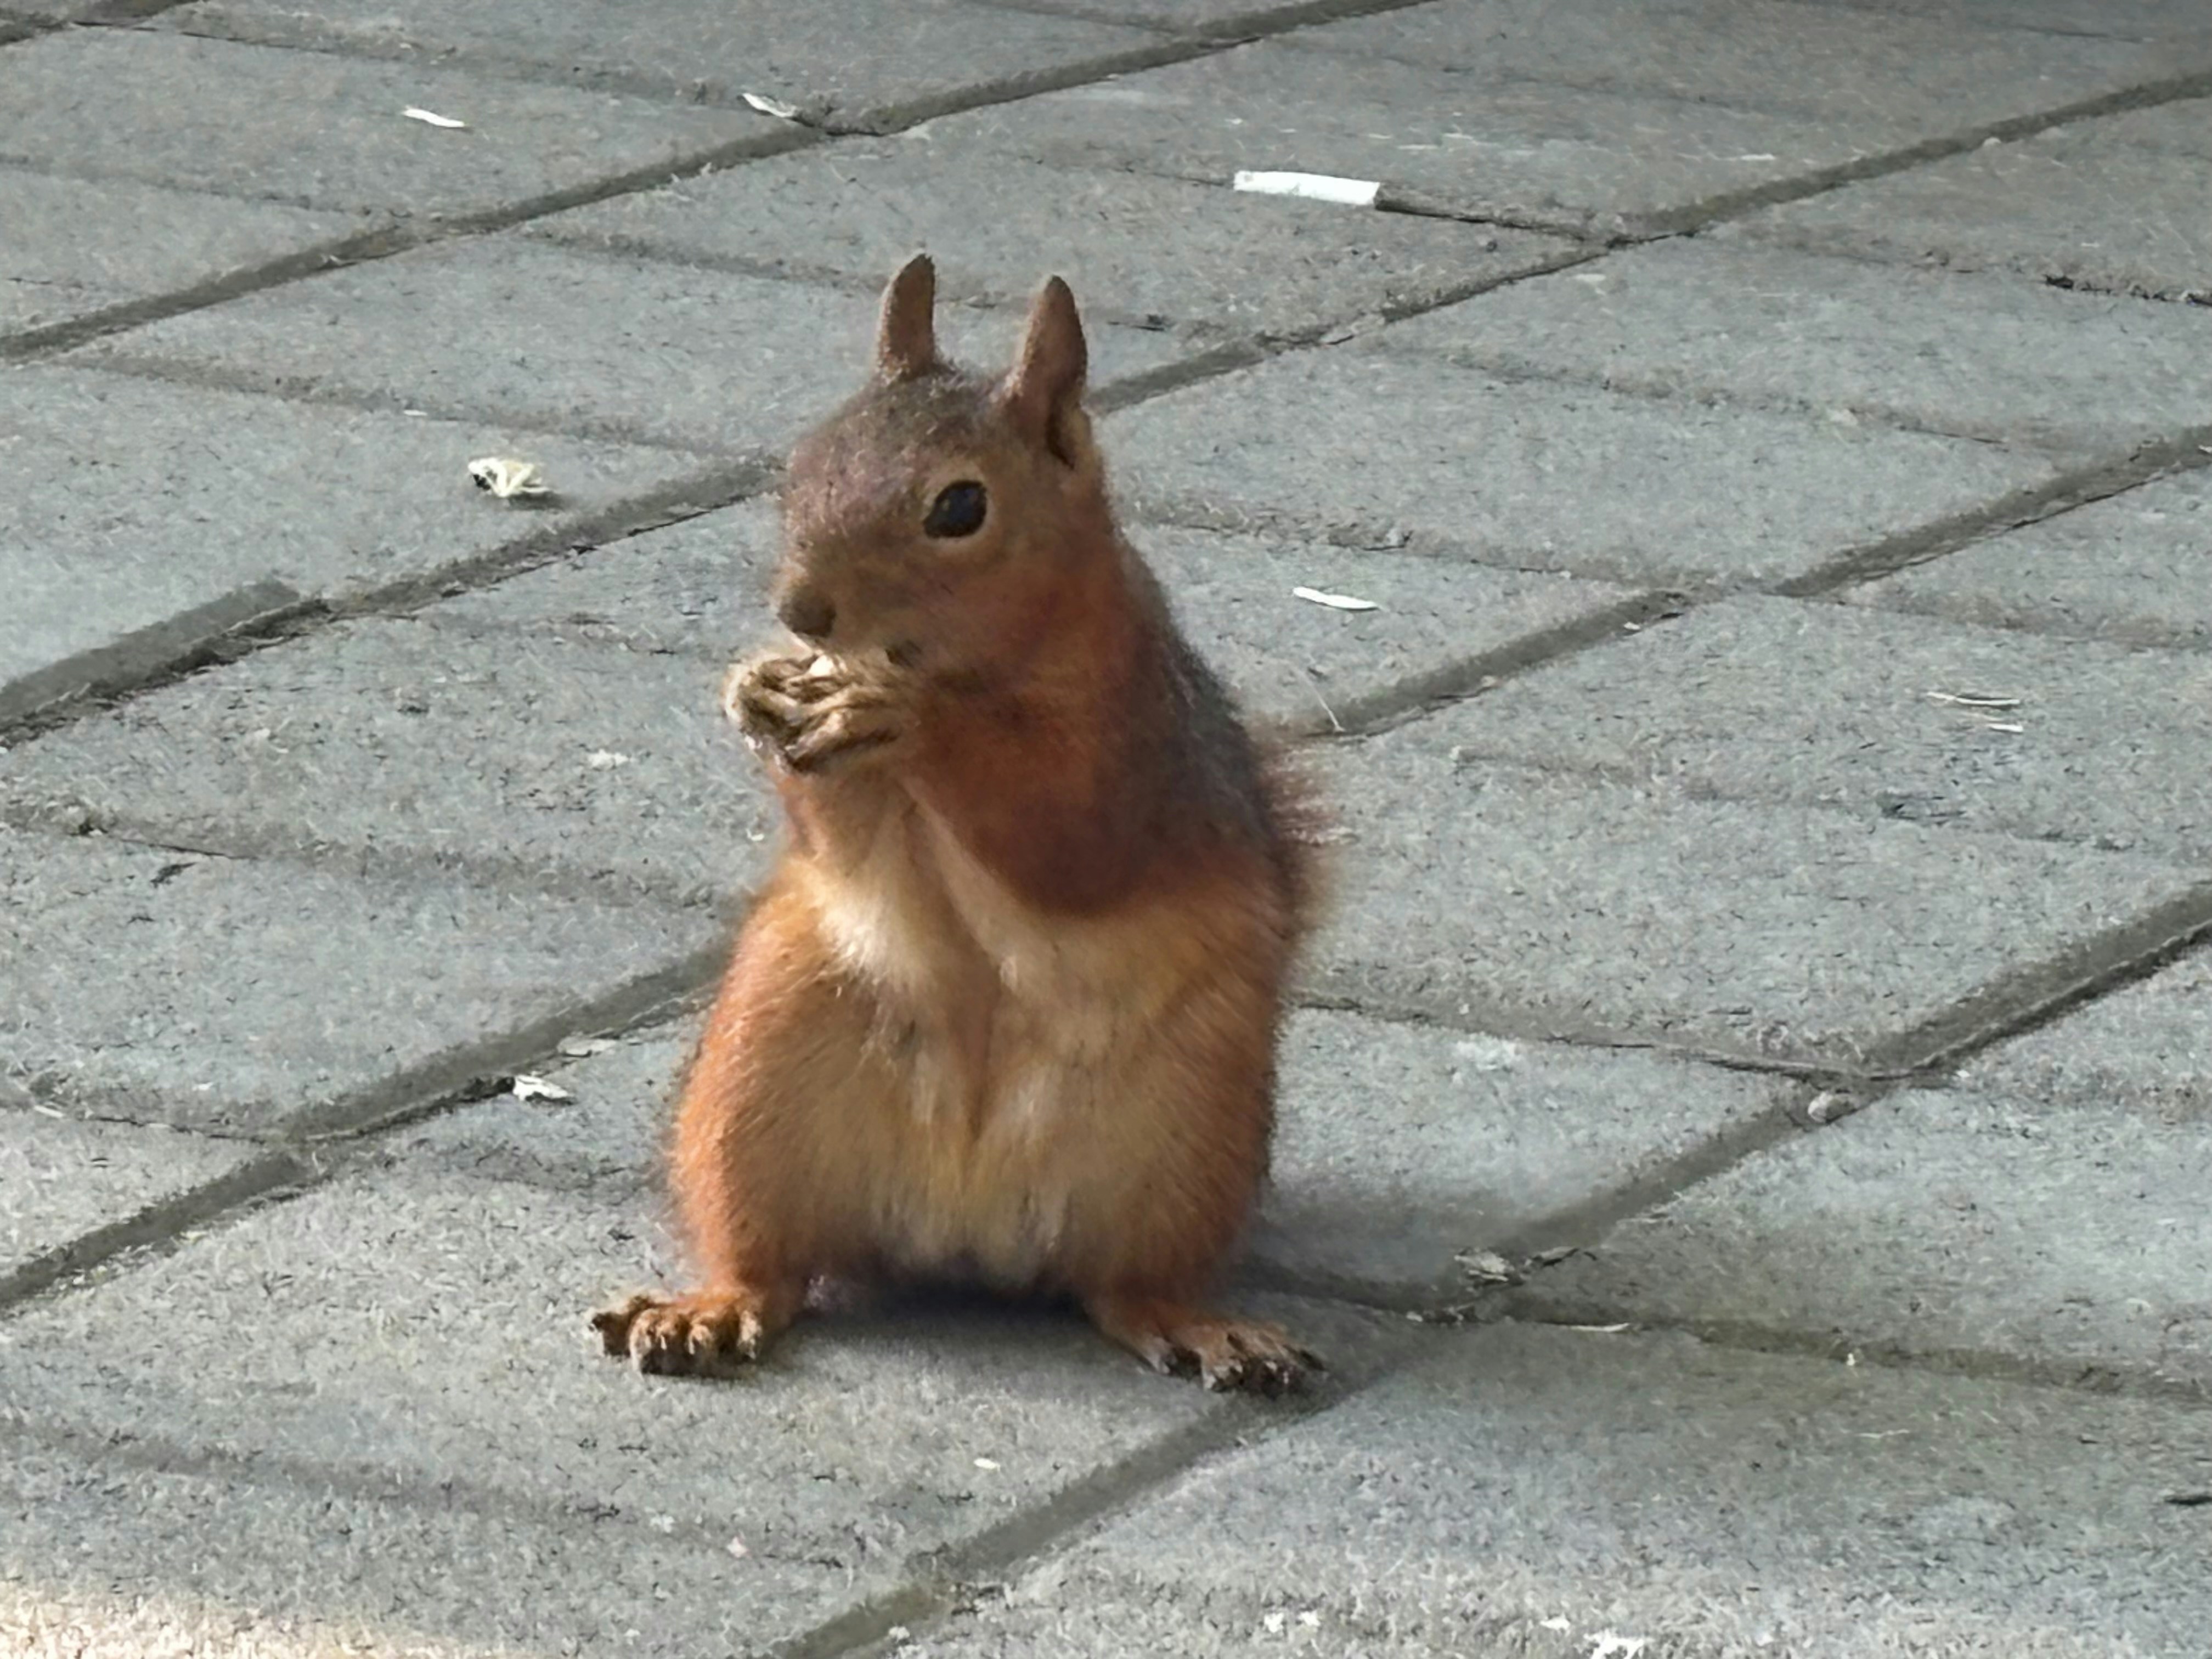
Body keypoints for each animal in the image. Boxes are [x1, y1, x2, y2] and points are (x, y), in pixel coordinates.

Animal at [592, 255, 1323, 1394]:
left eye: (961, 506)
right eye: (803, 461)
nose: (802, 611)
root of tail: (969, 1230)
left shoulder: (1136, 753)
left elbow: (1065, 834)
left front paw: (902, 718)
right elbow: (831, 833)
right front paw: (757, 687)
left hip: (1190, 1127)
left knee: (1126, 1288)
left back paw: (1205, 1327)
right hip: (757, 1072)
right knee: (772, 1263)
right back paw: (708, 1305)